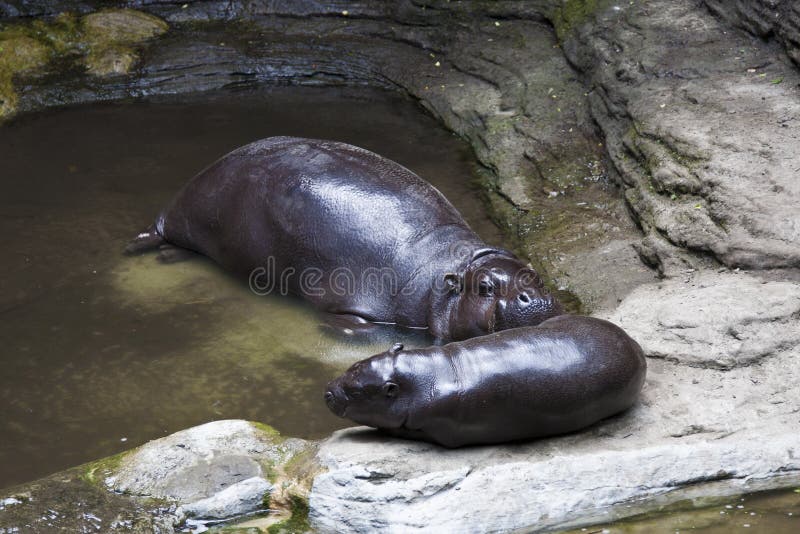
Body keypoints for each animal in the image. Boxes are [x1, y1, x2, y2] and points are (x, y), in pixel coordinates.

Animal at [126, 136, 561, 341]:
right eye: (485, 287)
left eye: (537, 275)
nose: (532, 298)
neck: (456, 269)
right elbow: (356, 325)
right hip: (192, 211)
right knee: (161, 230)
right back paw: (141, 246)